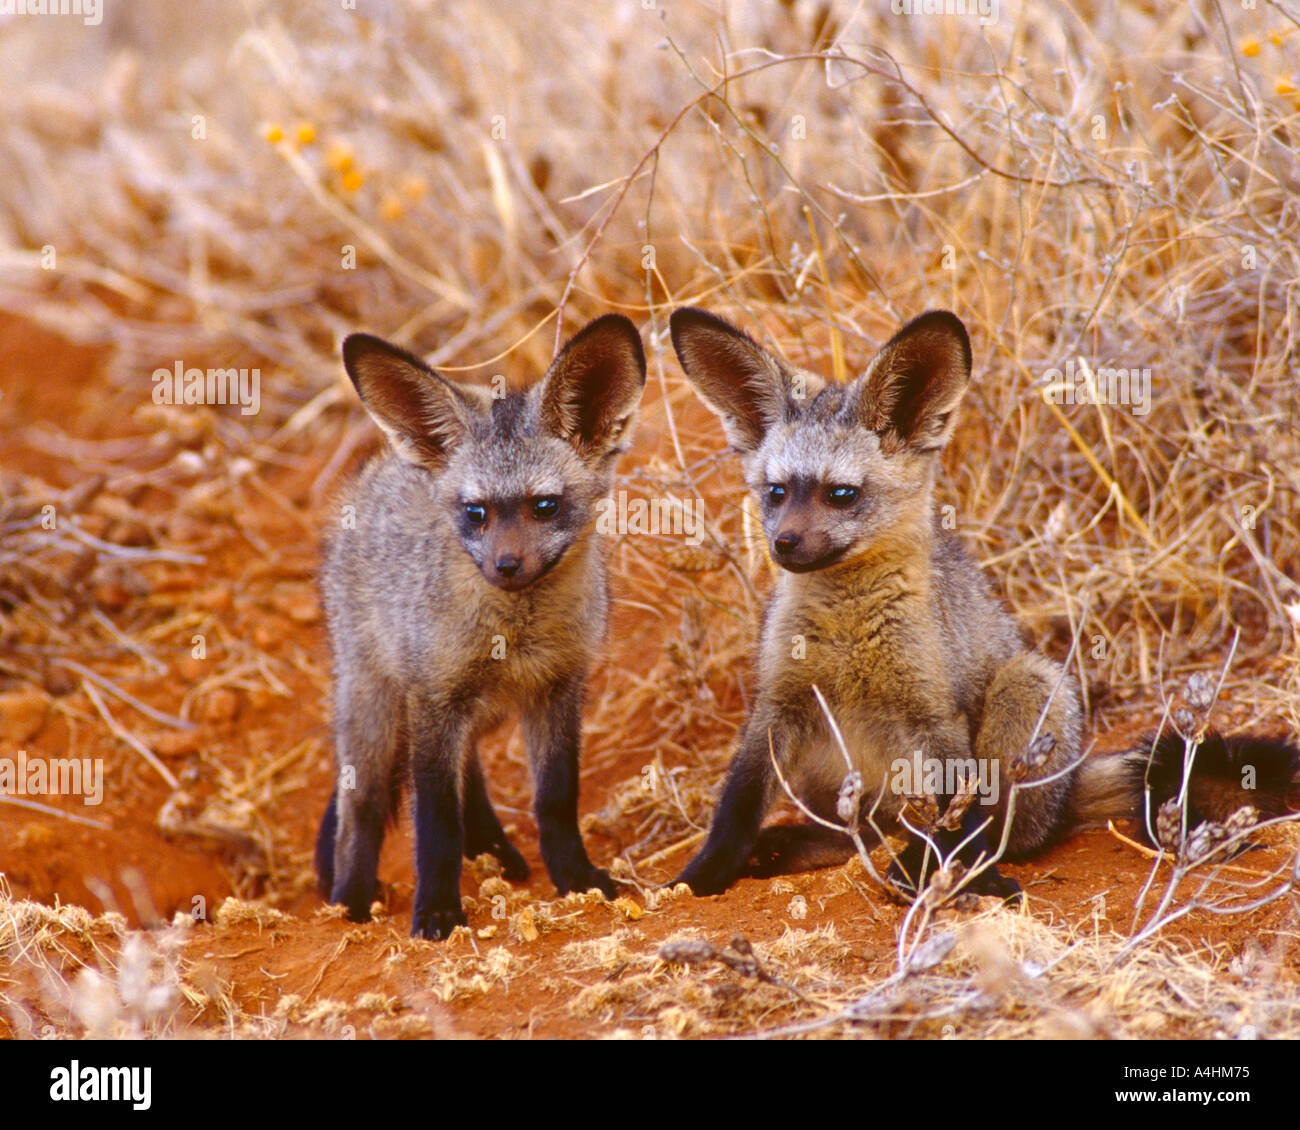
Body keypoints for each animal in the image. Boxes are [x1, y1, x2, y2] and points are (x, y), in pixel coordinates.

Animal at [315, 314, 646, 938]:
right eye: (476, 513)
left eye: (545, 506)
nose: (505, 566)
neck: (514, 639)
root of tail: (382, 468)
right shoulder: (435, 697)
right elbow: (435, 819)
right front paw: (438, 909)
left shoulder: (557, 690)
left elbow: (556, 800)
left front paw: (575, 878)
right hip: (375, 711)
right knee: (361, 810)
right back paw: (351, 902)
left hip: (470, 712)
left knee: (469, 770)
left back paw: (492, 849)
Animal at [668, 306, 1300, 898]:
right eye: (776, 492)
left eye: (841, 494)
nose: (784, 544)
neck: (851, 634)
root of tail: (1065, 792)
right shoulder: (778, 707)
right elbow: (735, 809)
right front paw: (698, 879)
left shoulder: (934, 716)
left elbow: (953, 818)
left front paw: (943, 876)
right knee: (864, 835)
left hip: (1027, 685)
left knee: (992, 831)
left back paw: (948, 870)